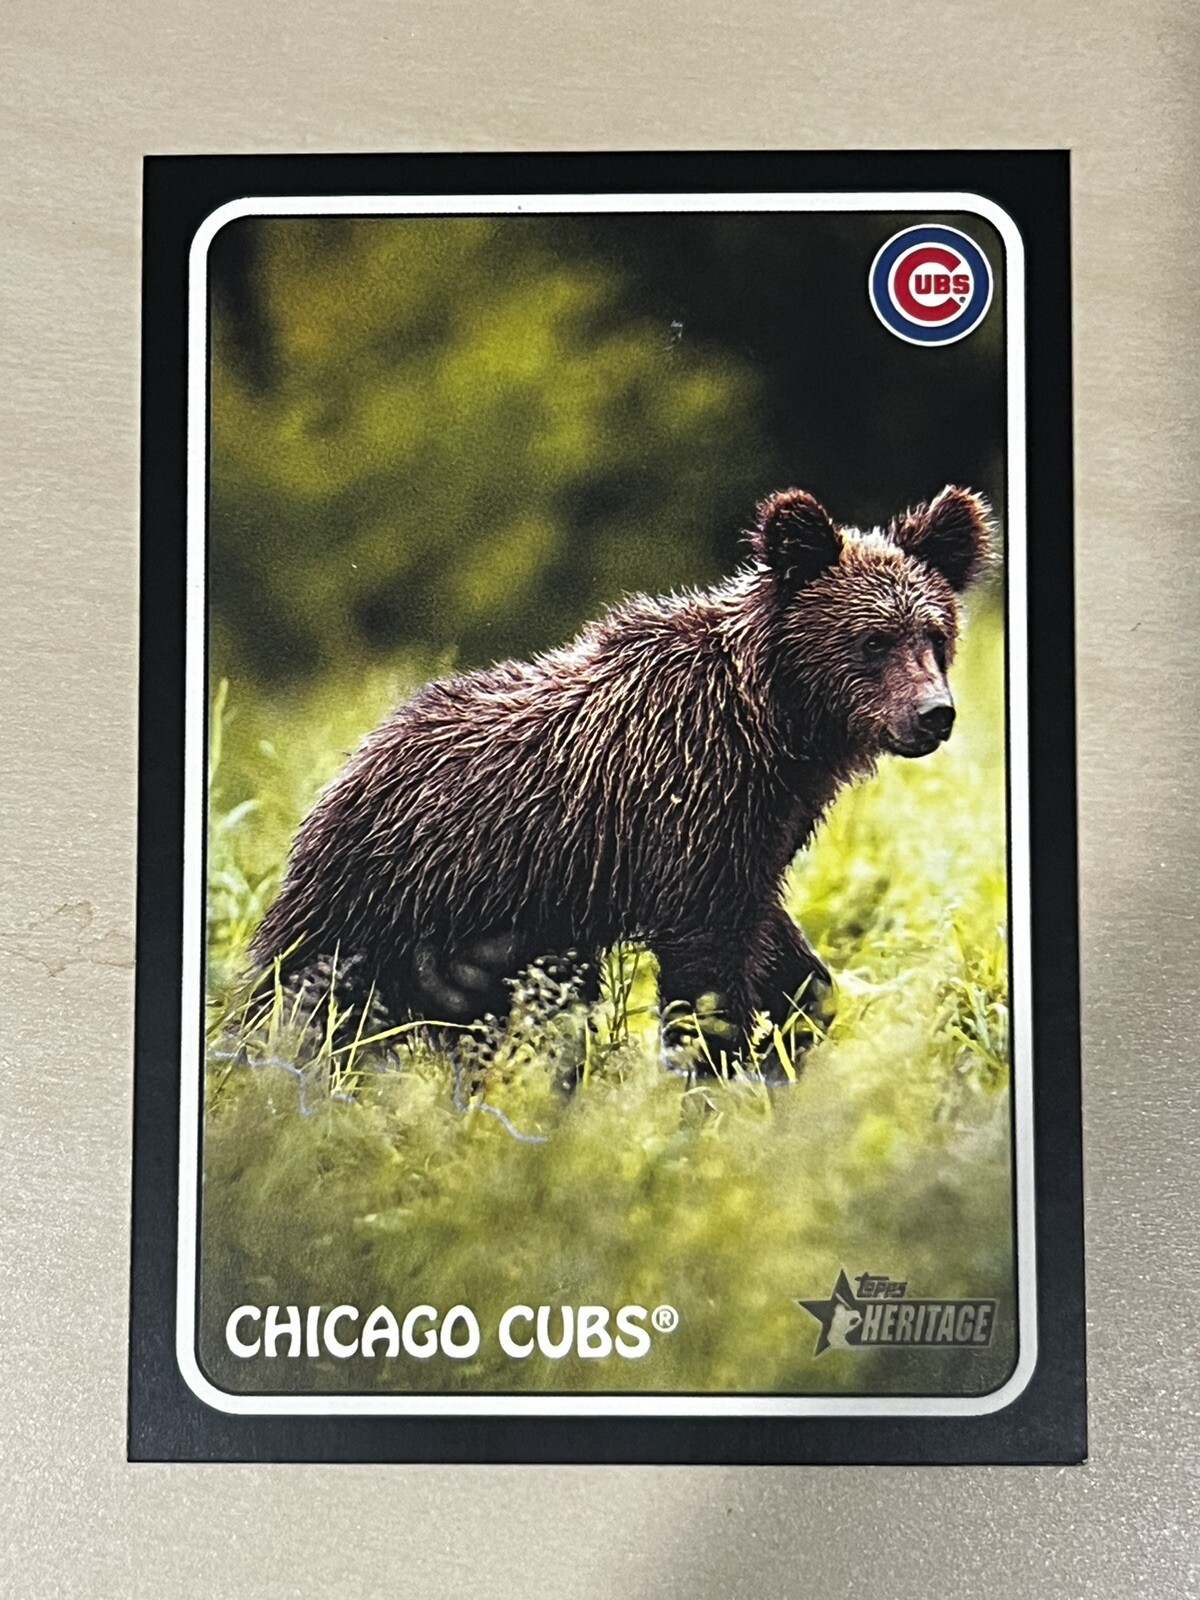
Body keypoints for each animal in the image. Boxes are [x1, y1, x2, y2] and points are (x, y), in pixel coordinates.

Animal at [251, 484, 991, 1064]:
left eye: (934, 633)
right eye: (874, 639)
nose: (934, 714)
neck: (773, 725)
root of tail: (353, 758)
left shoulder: (756, 833)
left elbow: (776, 946)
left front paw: (797, 1024)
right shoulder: (685, 810)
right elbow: (705, 971)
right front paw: (718, 1071)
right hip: (385, 893)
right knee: (306, 993)